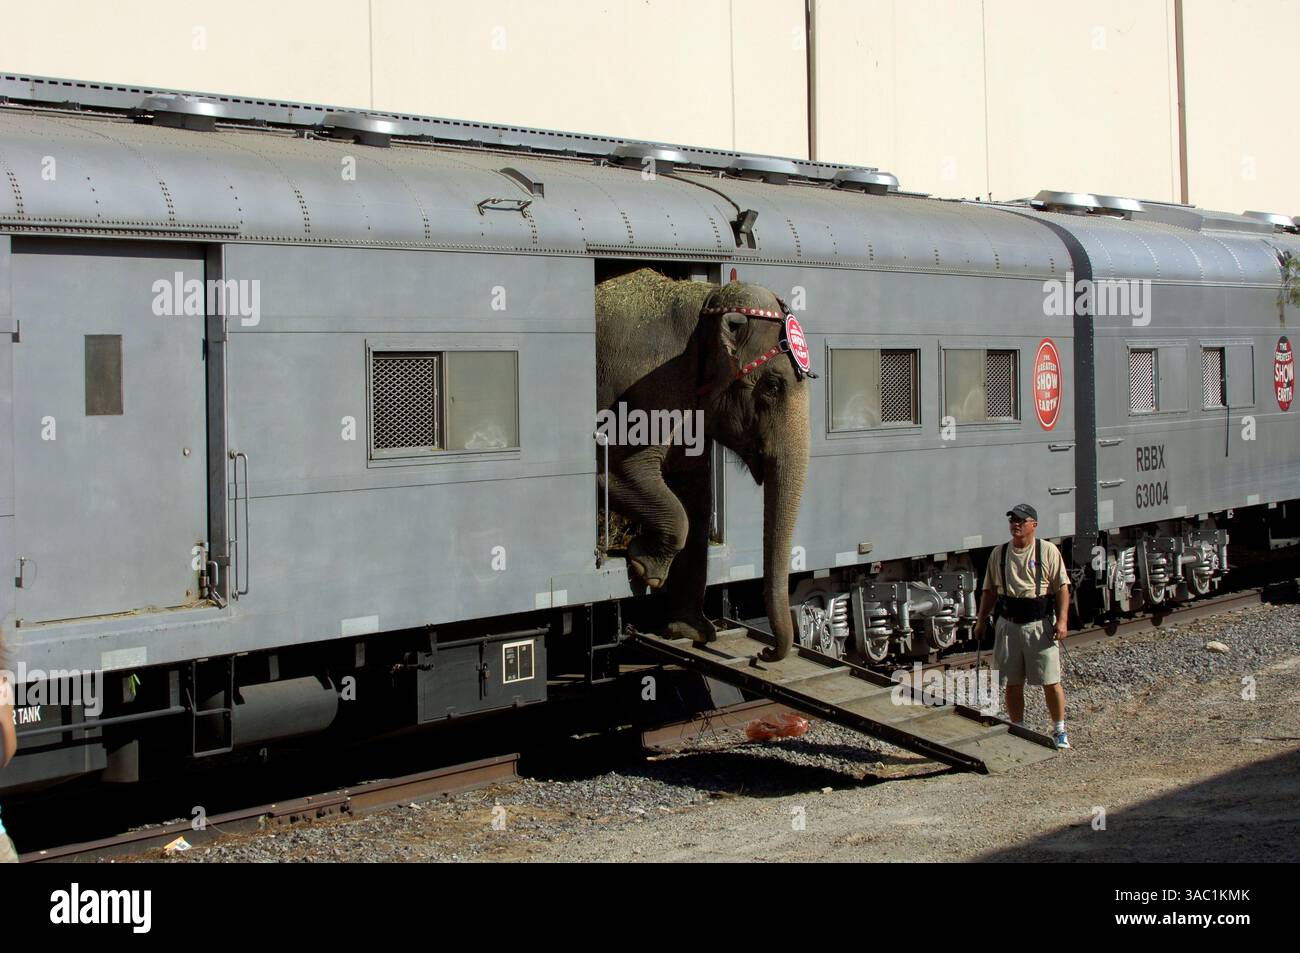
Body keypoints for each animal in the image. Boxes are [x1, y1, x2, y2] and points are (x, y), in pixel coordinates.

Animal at [595, 268, 811, 661]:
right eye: (773, 385)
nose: (764, 653)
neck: (706, 300)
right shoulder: (647, 388)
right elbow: (616, 474)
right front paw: (645, 568)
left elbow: (695, 496)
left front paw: (690, 632)